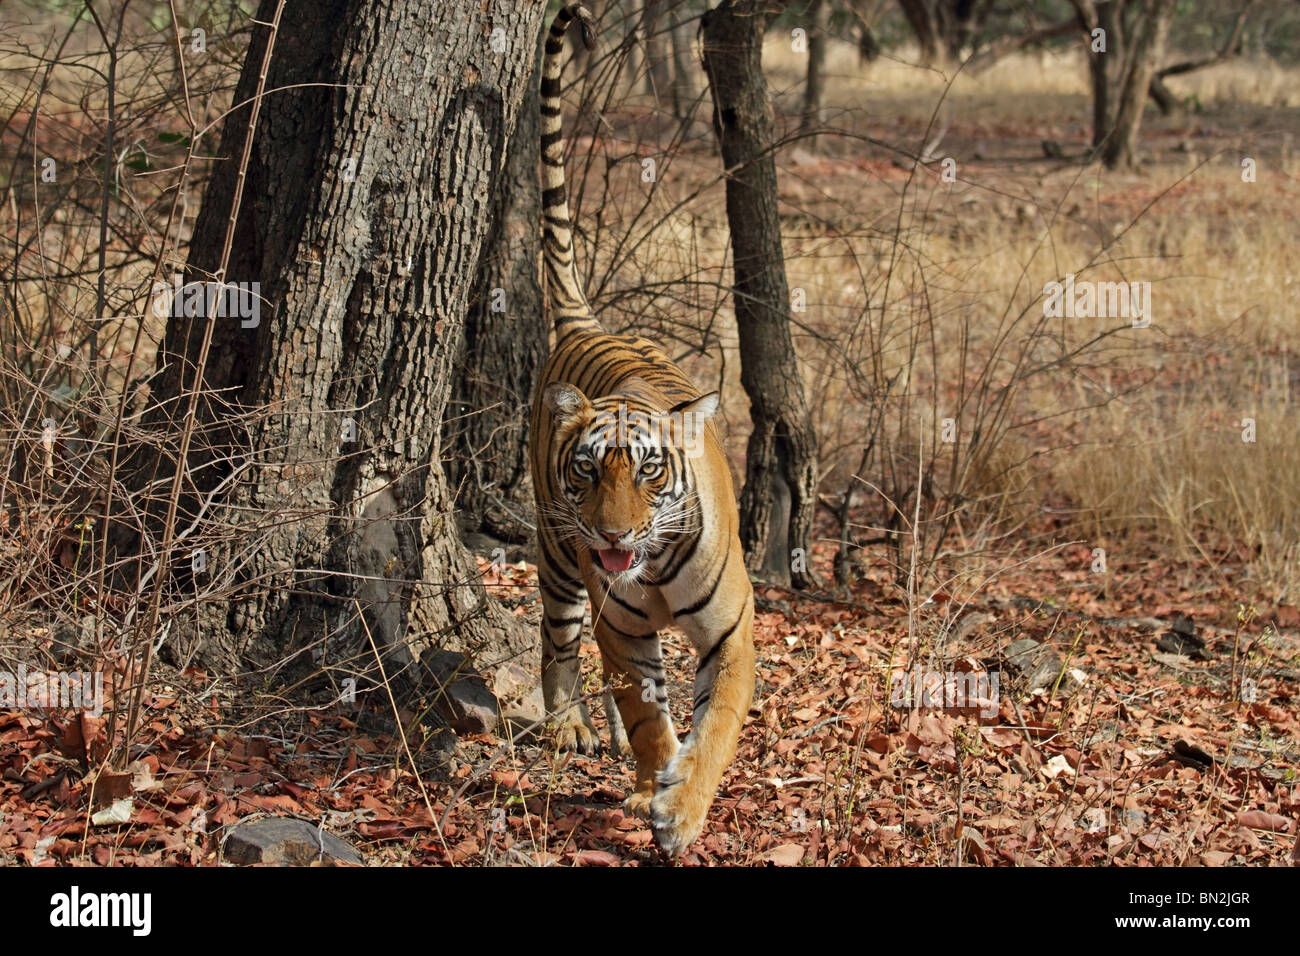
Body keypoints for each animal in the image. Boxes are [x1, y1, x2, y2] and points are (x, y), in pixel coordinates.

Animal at [527, 3, 756, 858]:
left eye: (651, 469)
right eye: (589, 470)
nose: (615, 537)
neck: (650, 570)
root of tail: (588, 322)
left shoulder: (732, 634)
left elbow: (714, 727)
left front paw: (682, 808)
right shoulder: (622, 631)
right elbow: (649, 718)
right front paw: (656, 791)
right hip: (557, 560)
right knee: (558, 644)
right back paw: (569, 730)